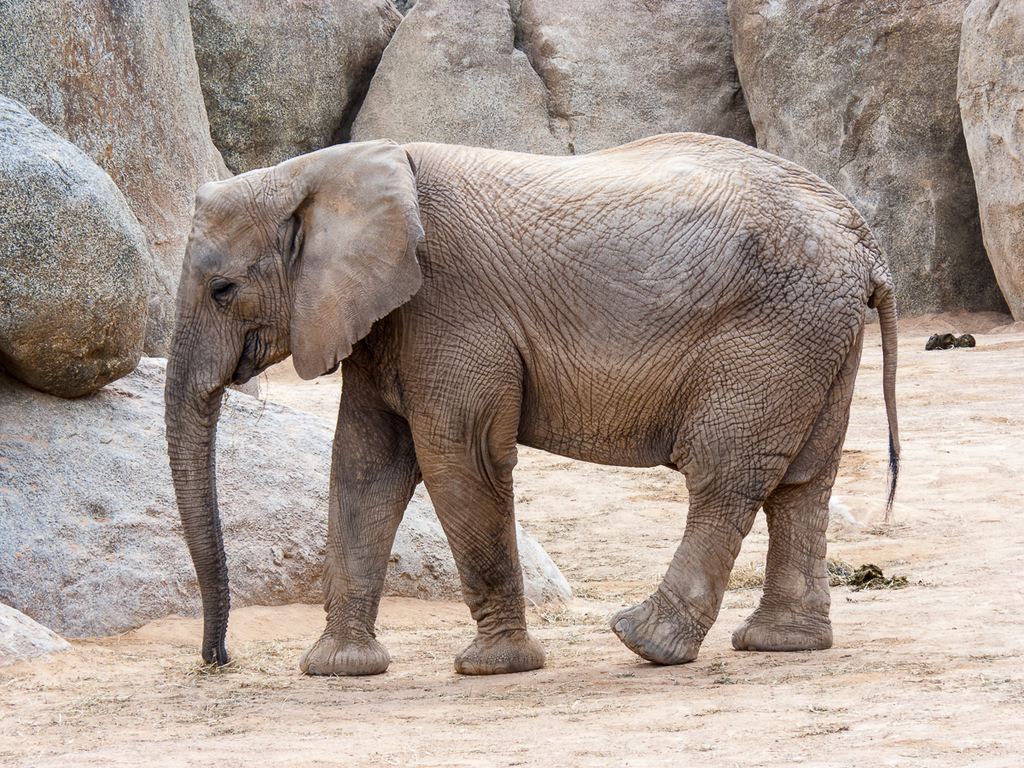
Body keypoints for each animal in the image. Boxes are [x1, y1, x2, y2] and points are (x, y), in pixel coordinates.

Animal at [165, 132, 900, 676]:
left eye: (223, 289)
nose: (218, 659)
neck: (317, 173)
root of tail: (866, 243)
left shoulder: (450, 307)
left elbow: (458, 460)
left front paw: (493, 667)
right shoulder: (383, 319)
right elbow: (363, 468)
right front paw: (338, 670)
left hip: (774, 333)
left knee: (726, 475)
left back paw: (644, 642)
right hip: (820, 335)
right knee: (804, 482)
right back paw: (781, 644)